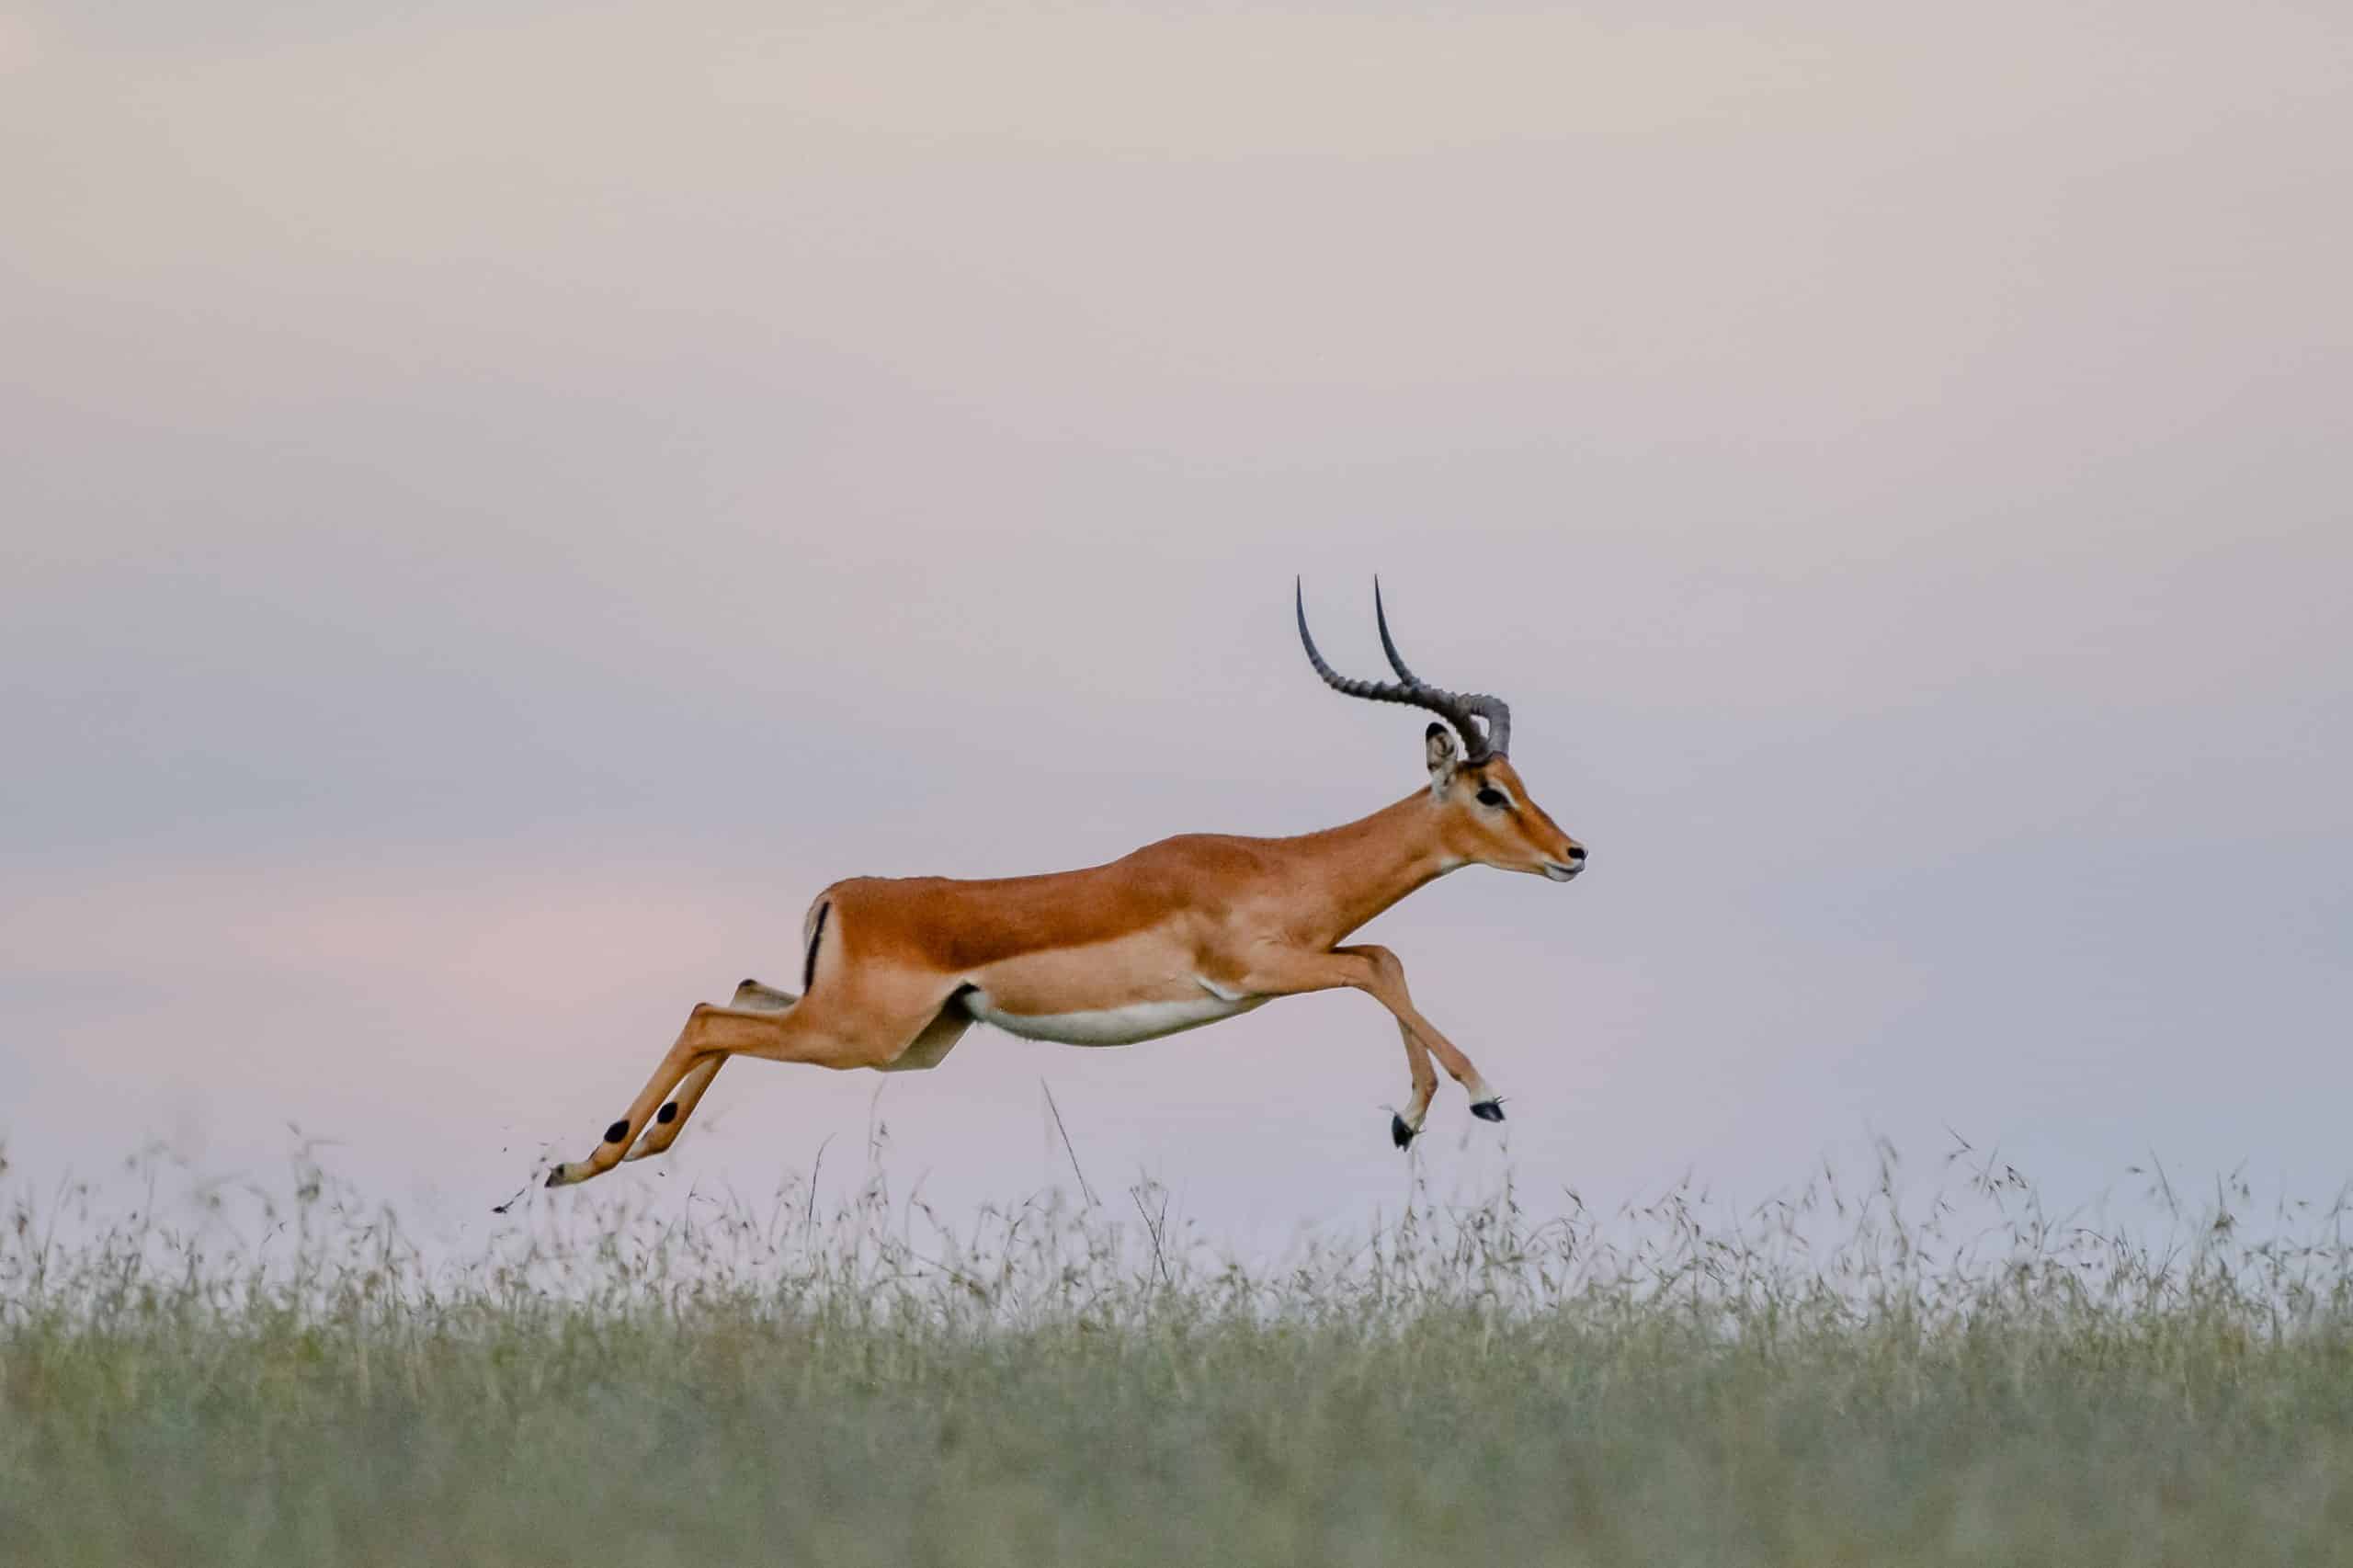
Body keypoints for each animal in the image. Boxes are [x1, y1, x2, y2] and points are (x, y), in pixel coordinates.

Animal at [545, 583, 1587, 1188]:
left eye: (1521, 781)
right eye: (1490, 792)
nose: (1573, 853)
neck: (1279, 865)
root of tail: (843, 894)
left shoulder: (1296, 960)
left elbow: (1385, 957)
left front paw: (1410, 1121)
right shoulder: (1255, 973)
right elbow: (1375, 965)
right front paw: (1480, 1097)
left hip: (896, 1040)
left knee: (731, 998)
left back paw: (623, 1151)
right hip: (852, 1036)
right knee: (708, 1016)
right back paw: (588, 1157)